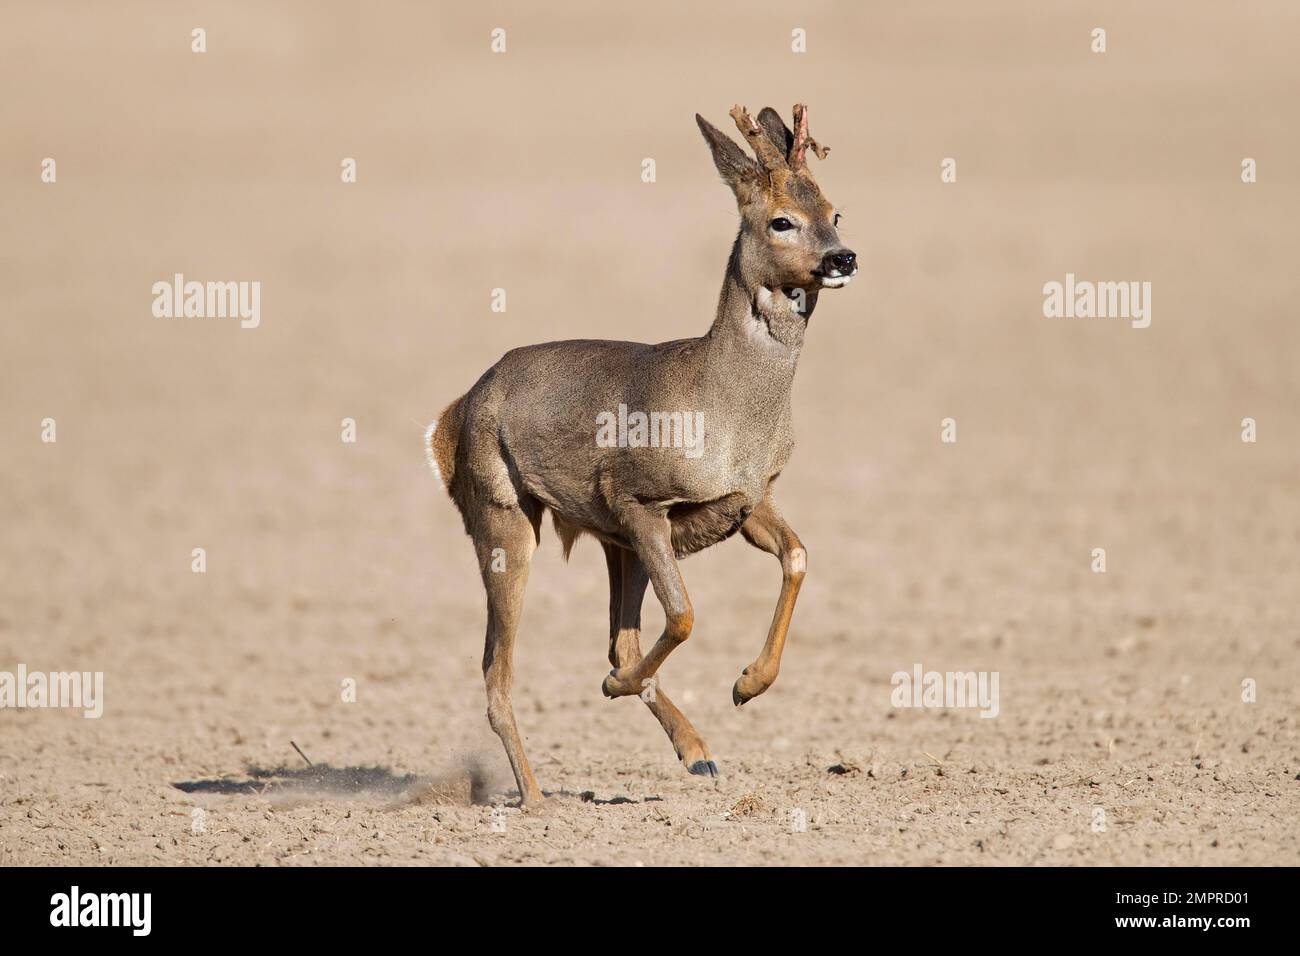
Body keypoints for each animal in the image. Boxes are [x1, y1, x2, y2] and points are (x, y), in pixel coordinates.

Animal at [426, 105, 857, 806]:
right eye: (780, 220)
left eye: (834, 210)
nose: (843, 256)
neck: (727, 407)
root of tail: (453, 415)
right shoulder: (637, 499)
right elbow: (683, 614)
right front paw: (650, 690)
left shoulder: (747, 497)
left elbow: (797, 556)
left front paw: (747, 683)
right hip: (504, 513)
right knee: (497, 671)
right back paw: (536, 798)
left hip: (610, 544)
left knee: (615, 643)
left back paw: (698, 754)